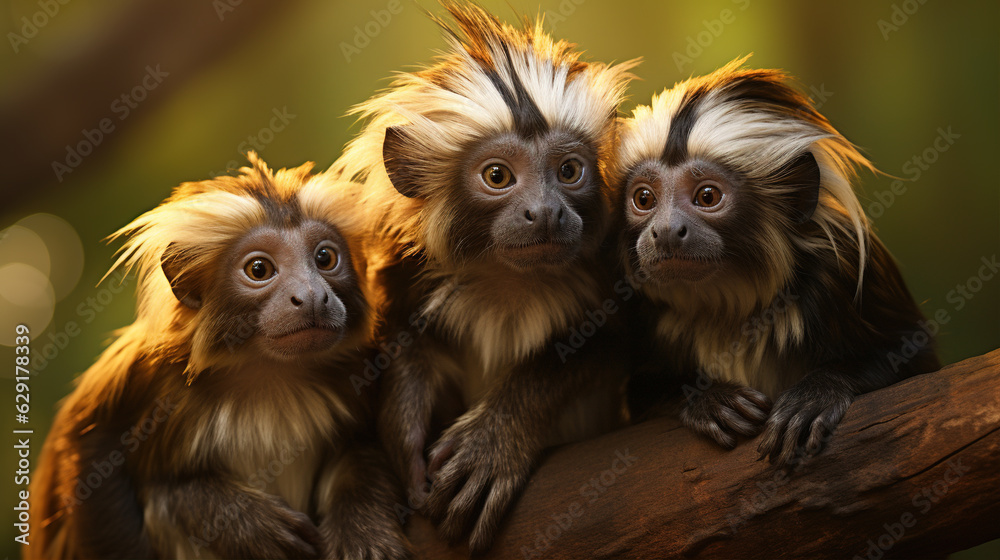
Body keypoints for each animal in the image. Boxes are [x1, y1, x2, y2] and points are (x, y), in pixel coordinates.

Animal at [27, 153, 410, 560]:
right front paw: (236, 520)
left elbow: (365, 450)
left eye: (325, 257)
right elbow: (93, 459)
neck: (268, 373)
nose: (312, 296)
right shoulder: (140, 375)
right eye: (259, 269)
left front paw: (361, 530)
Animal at [328, 2, 637, 553]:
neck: (507, 280)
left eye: (569, 171)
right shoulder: (409, 275)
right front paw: (403, 440)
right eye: (497, 176)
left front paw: (497, 438)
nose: (546, 212)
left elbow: (601, 350)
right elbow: (406, 349)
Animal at [612, 57, 940, 466]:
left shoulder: (845, 266)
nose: (667, 230)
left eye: (707, 196)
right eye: (644, 199)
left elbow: (915, 357)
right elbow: (638, 391)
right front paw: (709, 399)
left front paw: (818, 392)